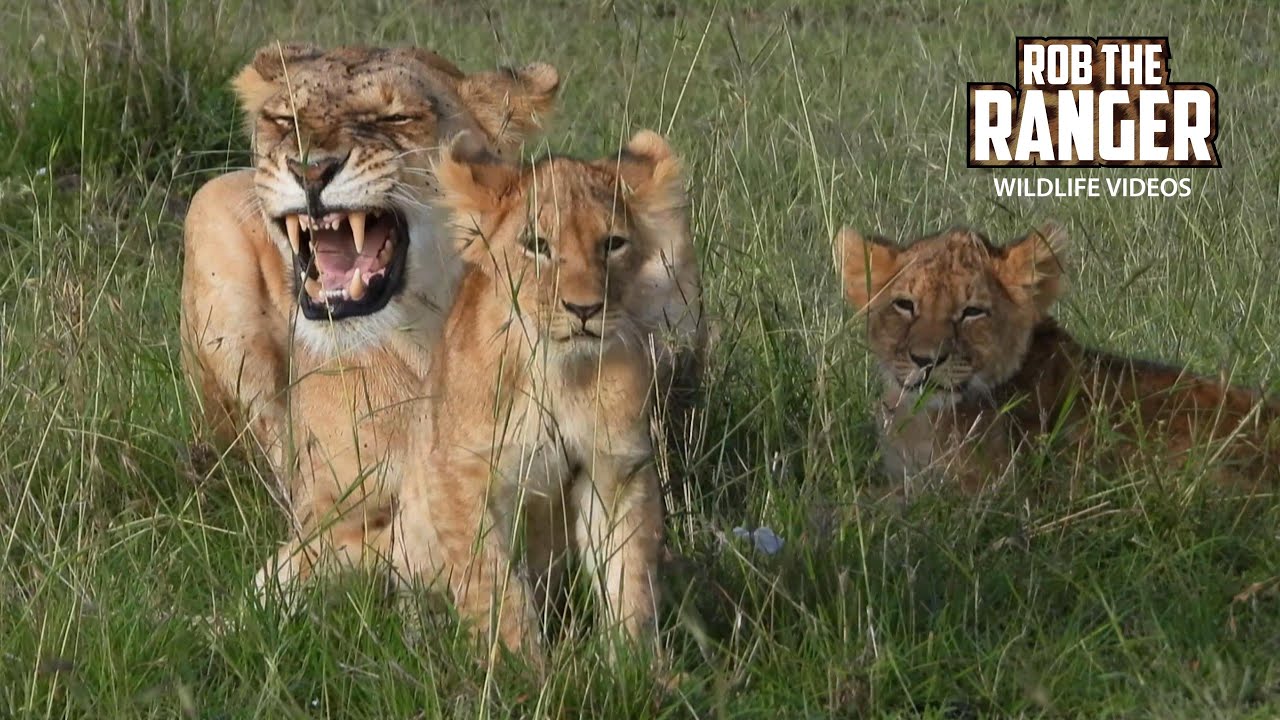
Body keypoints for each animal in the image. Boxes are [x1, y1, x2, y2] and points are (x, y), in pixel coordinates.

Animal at [178, 44, 559, 595]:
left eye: (395, 118)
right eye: (283, 119)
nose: (310, 169)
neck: (426, 338)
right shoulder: (327, 505)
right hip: (207, 208)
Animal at [391, 130, 703, 653]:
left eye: (612, 244)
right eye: (536, 245)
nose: (584, 309)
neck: (556, 373)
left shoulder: (615, 469)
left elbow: (629, 577)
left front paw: (634, 663)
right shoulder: (464, 472)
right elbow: (494, 586)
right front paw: (518, 665)